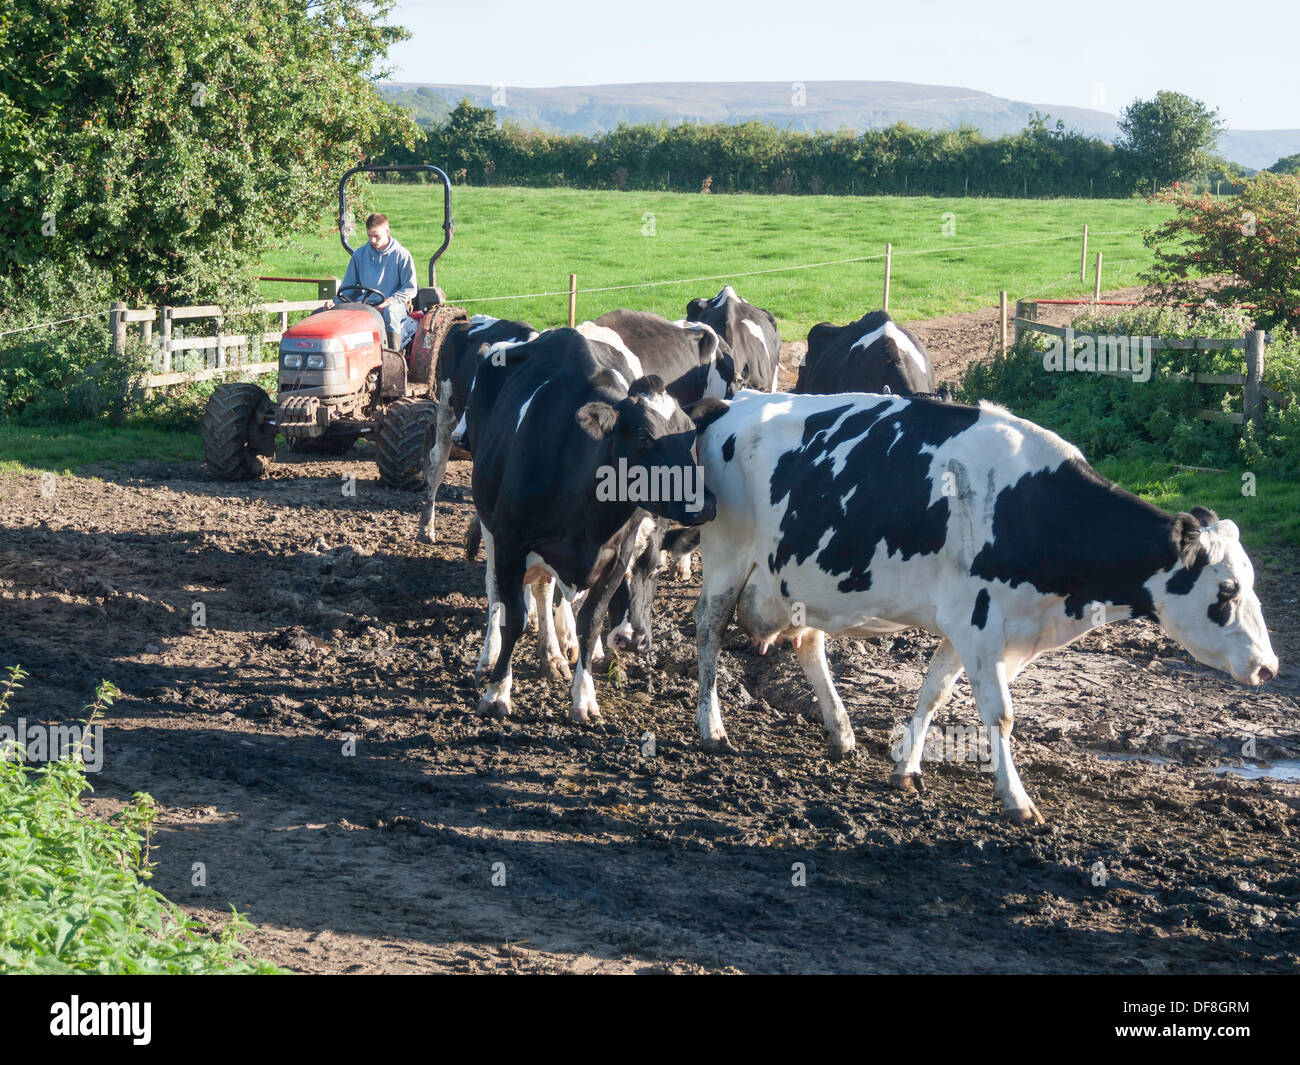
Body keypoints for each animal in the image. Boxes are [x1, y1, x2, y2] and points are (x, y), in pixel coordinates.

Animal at [460, 327, 716, 723]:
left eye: (690, 434)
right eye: (643, 435)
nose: (704, 502)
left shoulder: (616, 557)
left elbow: (590, 623)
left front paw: (583, 697)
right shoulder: (511, 542)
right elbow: (514, 616)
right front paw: (497, 692)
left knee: (544, 588)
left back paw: (551, 656)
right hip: (489, 524)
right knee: (494, 593)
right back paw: (488, 658)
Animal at [690, 391, 1278, 823]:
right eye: (1227, 591)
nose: (1269, 667)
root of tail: (734, 403)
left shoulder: (975, 628)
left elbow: (934, 691)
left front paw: (906, 767)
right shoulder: (978, 621)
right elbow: (1001, 714)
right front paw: (1016, 799)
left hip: (797, 583)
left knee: (808, 641)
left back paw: (840, 733)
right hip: (726, 557)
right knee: (709, 632)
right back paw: (712, 730)